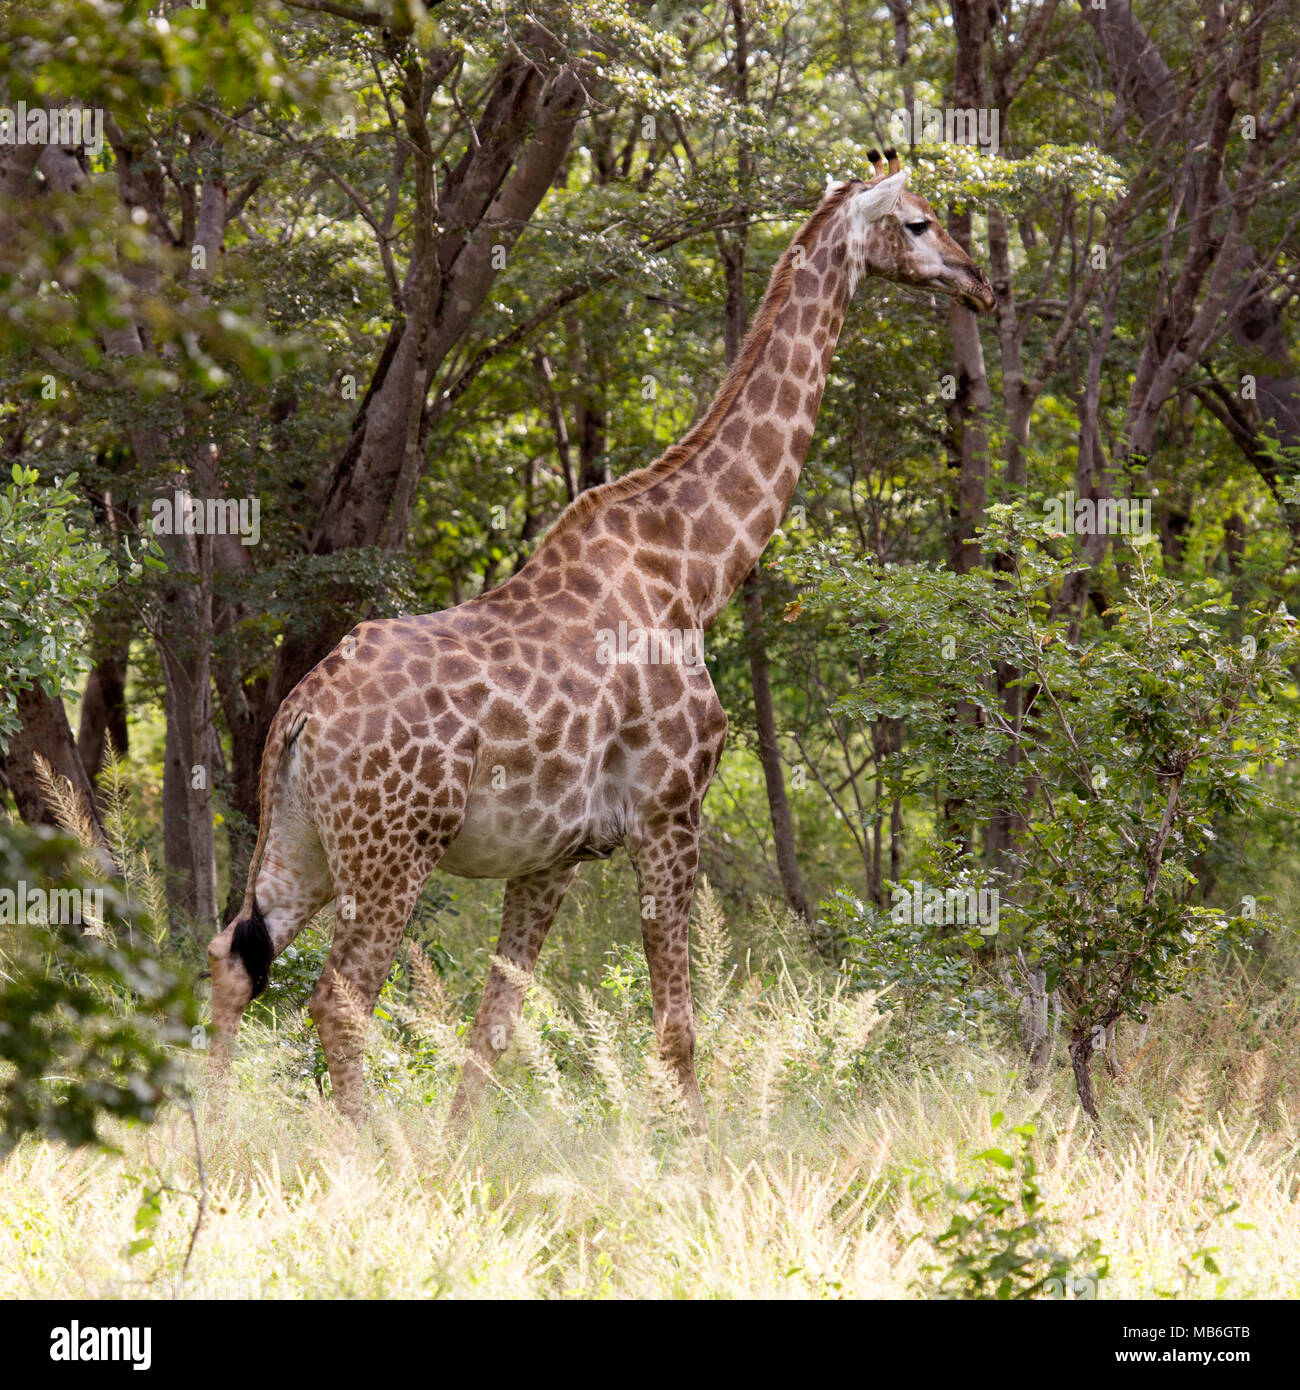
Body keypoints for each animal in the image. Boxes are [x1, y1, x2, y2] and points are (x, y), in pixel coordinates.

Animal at [206, 152, 995, 1126]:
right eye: (919, 222)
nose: (980, 281)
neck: (695, 571)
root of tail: (302, 715)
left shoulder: (554, 855)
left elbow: (493, 1031)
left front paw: (458, 1151)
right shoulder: (670, 811)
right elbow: (676, 1028)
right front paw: (696, 1147)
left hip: (301, 844)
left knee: (232, 964)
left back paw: (206, 1137)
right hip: (393, 853)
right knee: (336, 999)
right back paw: (368, 1148)